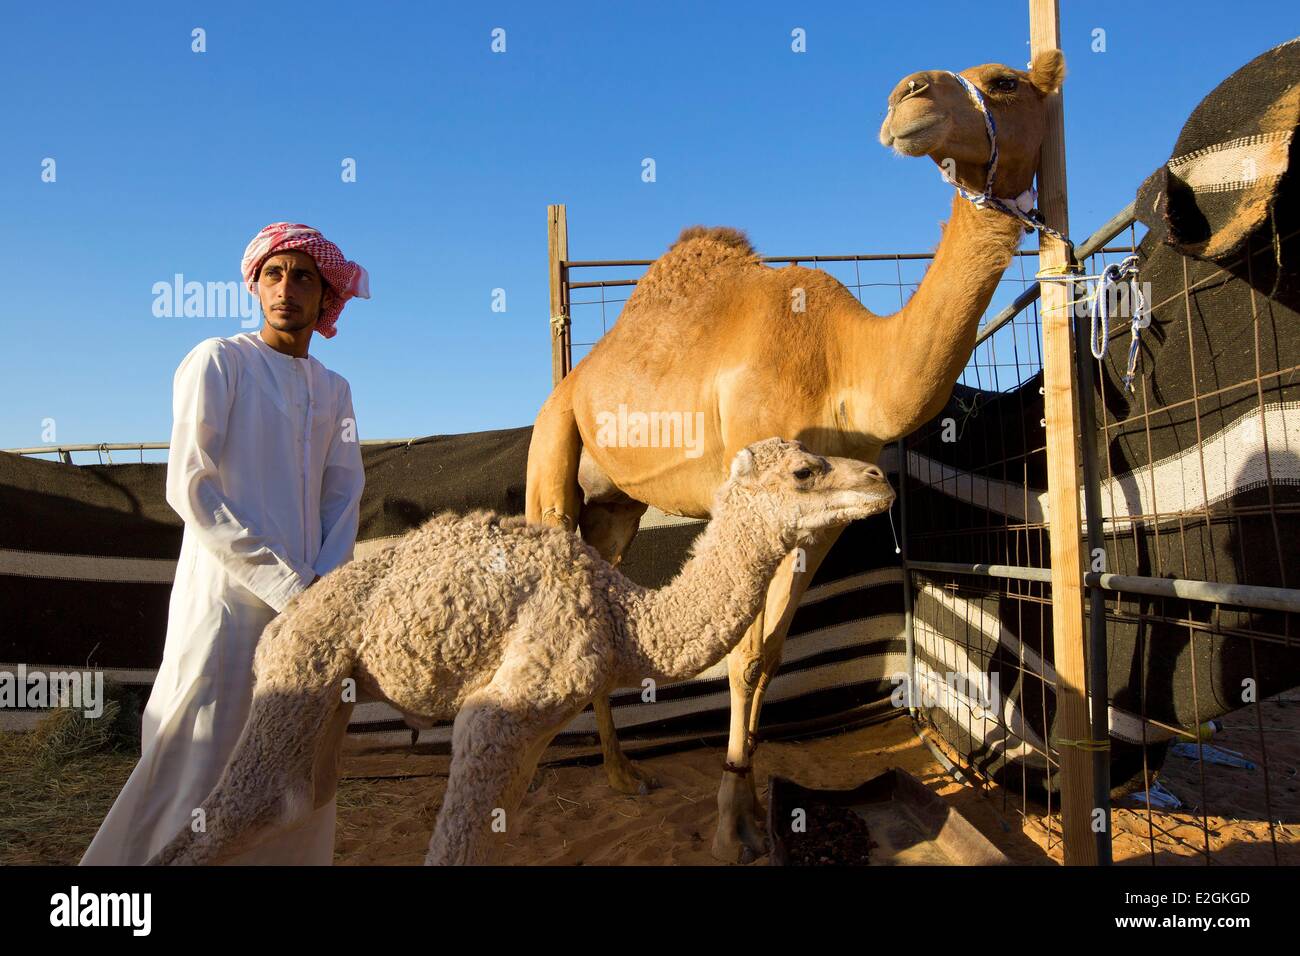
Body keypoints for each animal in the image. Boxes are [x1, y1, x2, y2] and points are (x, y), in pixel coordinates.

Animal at [147, 439, 893, 866]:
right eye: (804, 470)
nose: (880, 478)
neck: (624, 621)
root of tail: (286, 621)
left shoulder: (532, 734)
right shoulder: (501, 712)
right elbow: (454, 848)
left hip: (326, 702)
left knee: (286, 803)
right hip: (298, 675)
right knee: (232, 813)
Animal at [525, 49, 1067, 862]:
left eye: (1004, 81)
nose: (908, 98)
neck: (844, 360)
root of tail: (571, 381)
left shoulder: (827, 517)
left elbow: (770, 658)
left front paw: (755, 813)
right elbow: (743, 656)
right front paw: (730, 828)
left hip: (616, 506)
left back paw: (622, 777)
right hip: (551, 456)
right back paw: (532, 776)